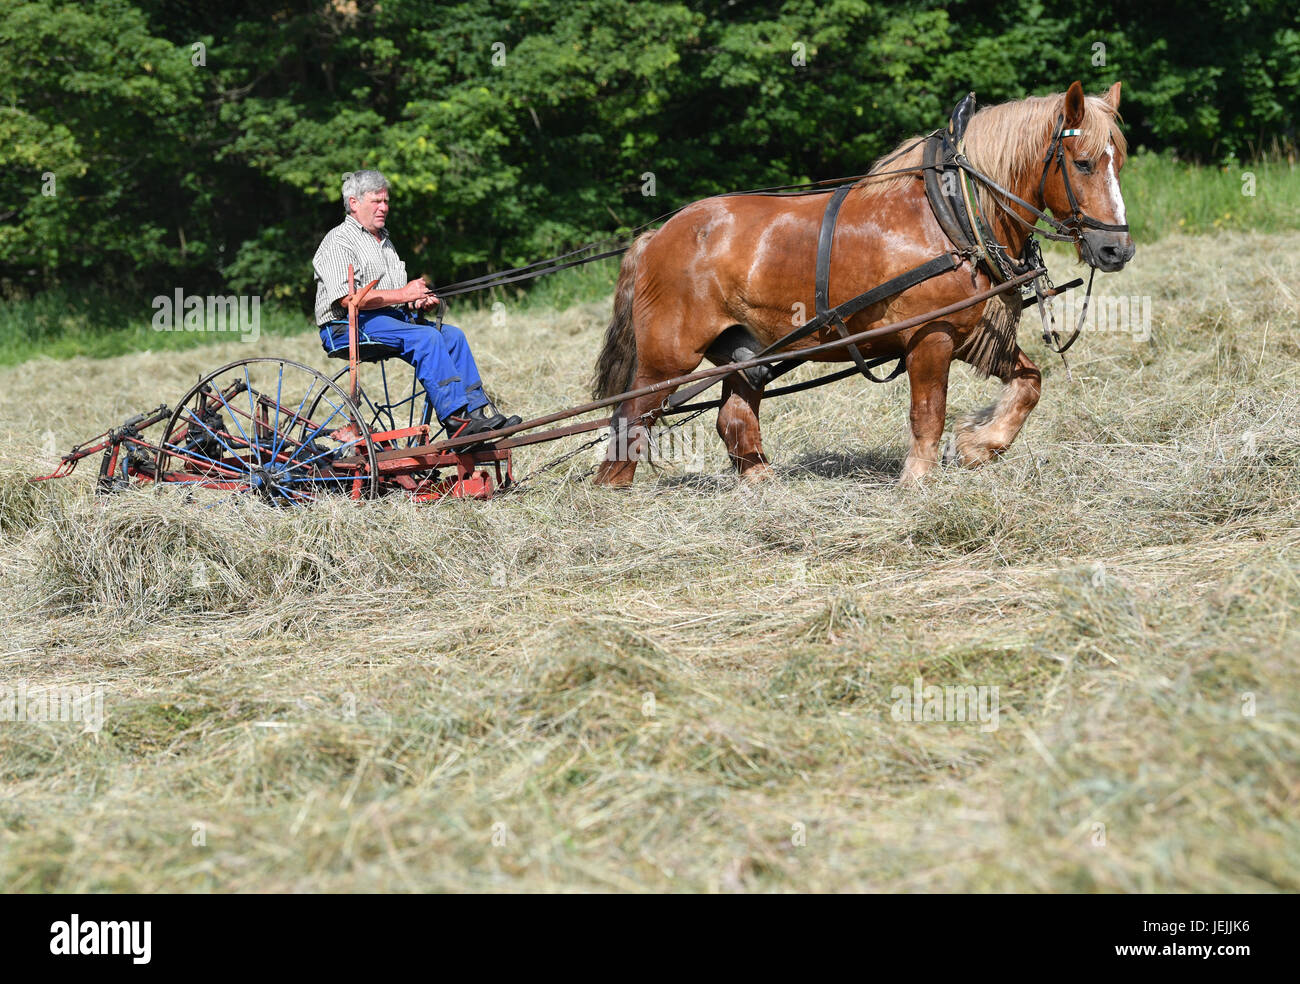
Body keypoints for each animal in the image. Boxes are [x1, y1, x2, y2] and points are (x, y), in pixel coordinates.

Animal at [591, 81, 1133, 487]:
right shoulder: (930, 337)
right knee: (631, 418)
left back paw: (764, 484)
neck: (953, 213)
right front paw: (918, 481)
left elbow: (1029, 383)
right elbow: (927, 412)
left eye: (1119, 162)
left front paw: (978, 445)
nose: (1117, 250)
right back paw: (613, 495)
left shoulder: (971, 332)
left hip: (745, 351)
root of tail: (655, 236)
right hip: (668, 358)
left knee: (735, 419)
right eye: (1083, 162)